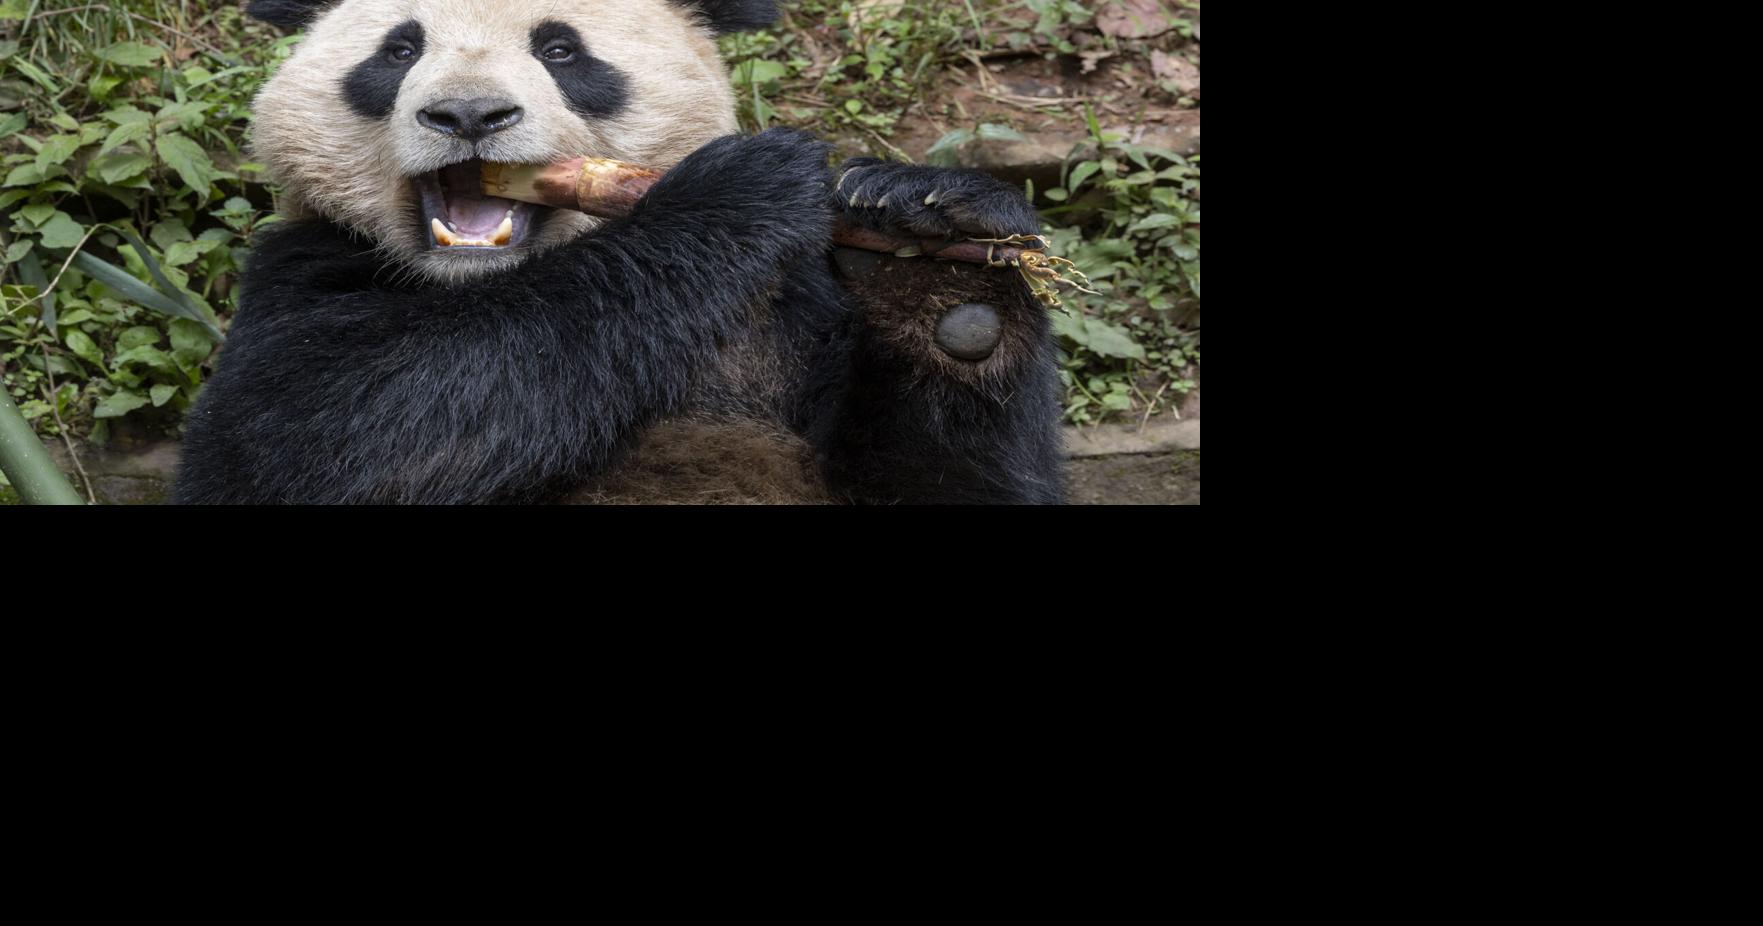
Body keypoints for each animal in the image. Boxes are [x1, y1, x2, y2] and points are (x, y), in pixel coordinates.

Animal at [172, 0, 1066, 504]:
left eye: (561, 50)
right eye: (398, 50)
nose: (468, 116)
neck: (481, 282)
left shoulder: (795, 316)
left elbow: (953, 486)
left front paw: (933, 250)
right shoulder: (306, 267)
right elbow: (325, 439)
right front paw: (737, 189)